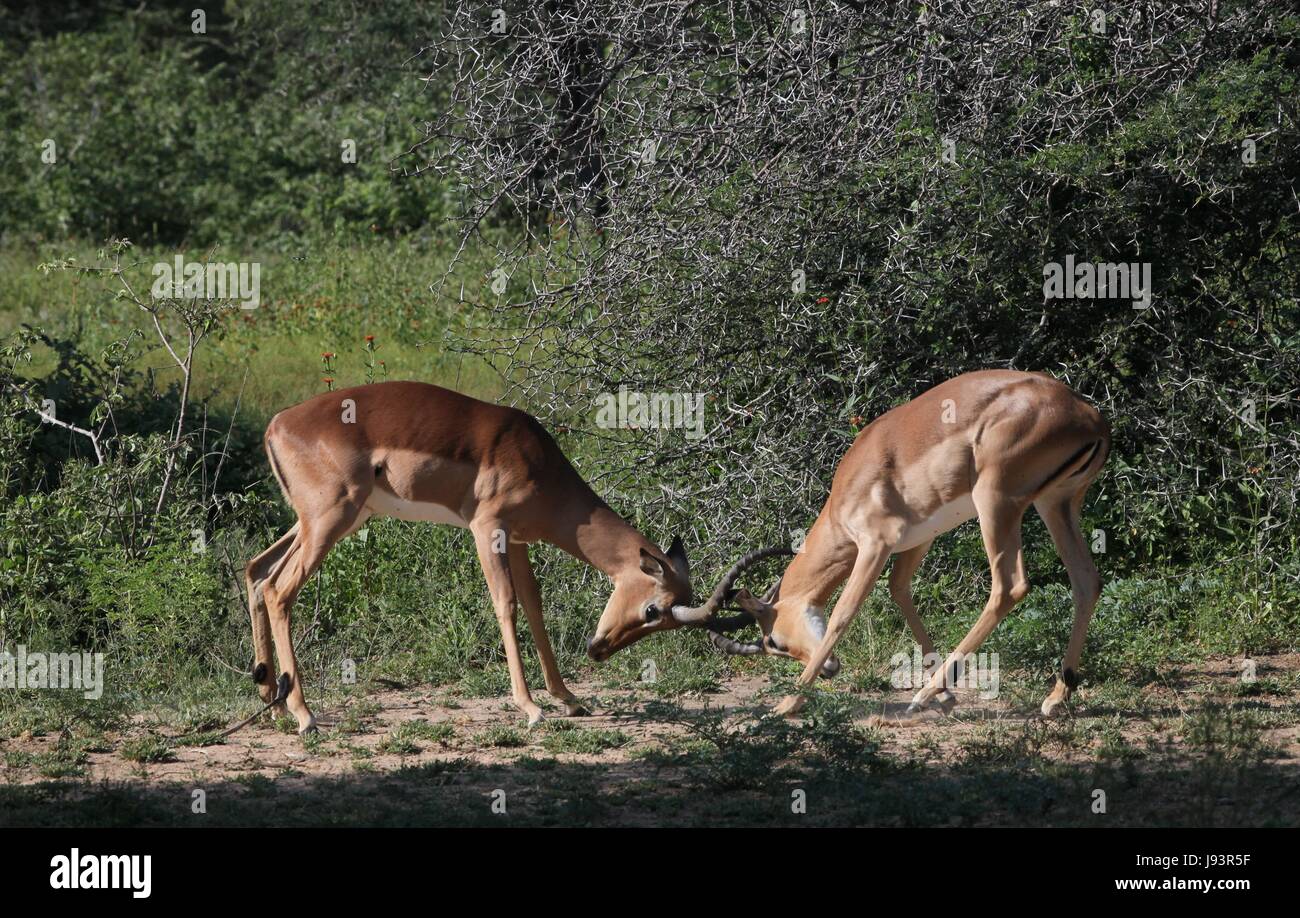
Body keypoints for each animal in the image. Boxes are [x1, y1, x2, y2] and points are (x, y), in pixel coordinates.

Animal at [245, 380, 745, 734]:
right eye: (653, 610)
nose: (598, 650)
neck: (540, 466)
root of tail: (276, 424)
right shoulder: (489, 530)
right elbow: (506, 605)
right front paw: (531, 708)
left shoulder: (520, 541)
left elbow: (535, 606)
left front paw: (568, 698)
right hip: (331, 521)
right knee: (278, 590)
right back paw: (304, 714)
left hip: (326, 522)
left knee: (257, 571)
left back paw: (272, 702)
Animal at [701, 370, 1110, 720]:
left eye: (774, 642)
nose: (831, 670)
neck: (843, 495)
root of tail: (1090, 417)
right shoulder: (918, 538)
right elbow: (900, 591)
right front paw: (946, 698)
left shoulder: (875, 543)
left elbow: (843, 613)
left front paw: (787, 704)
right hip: (1056, 504)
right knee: (1087, 581)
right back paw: (1055, 697)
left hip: (996, 502)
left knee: (1010, 586)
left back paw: (921, 697)